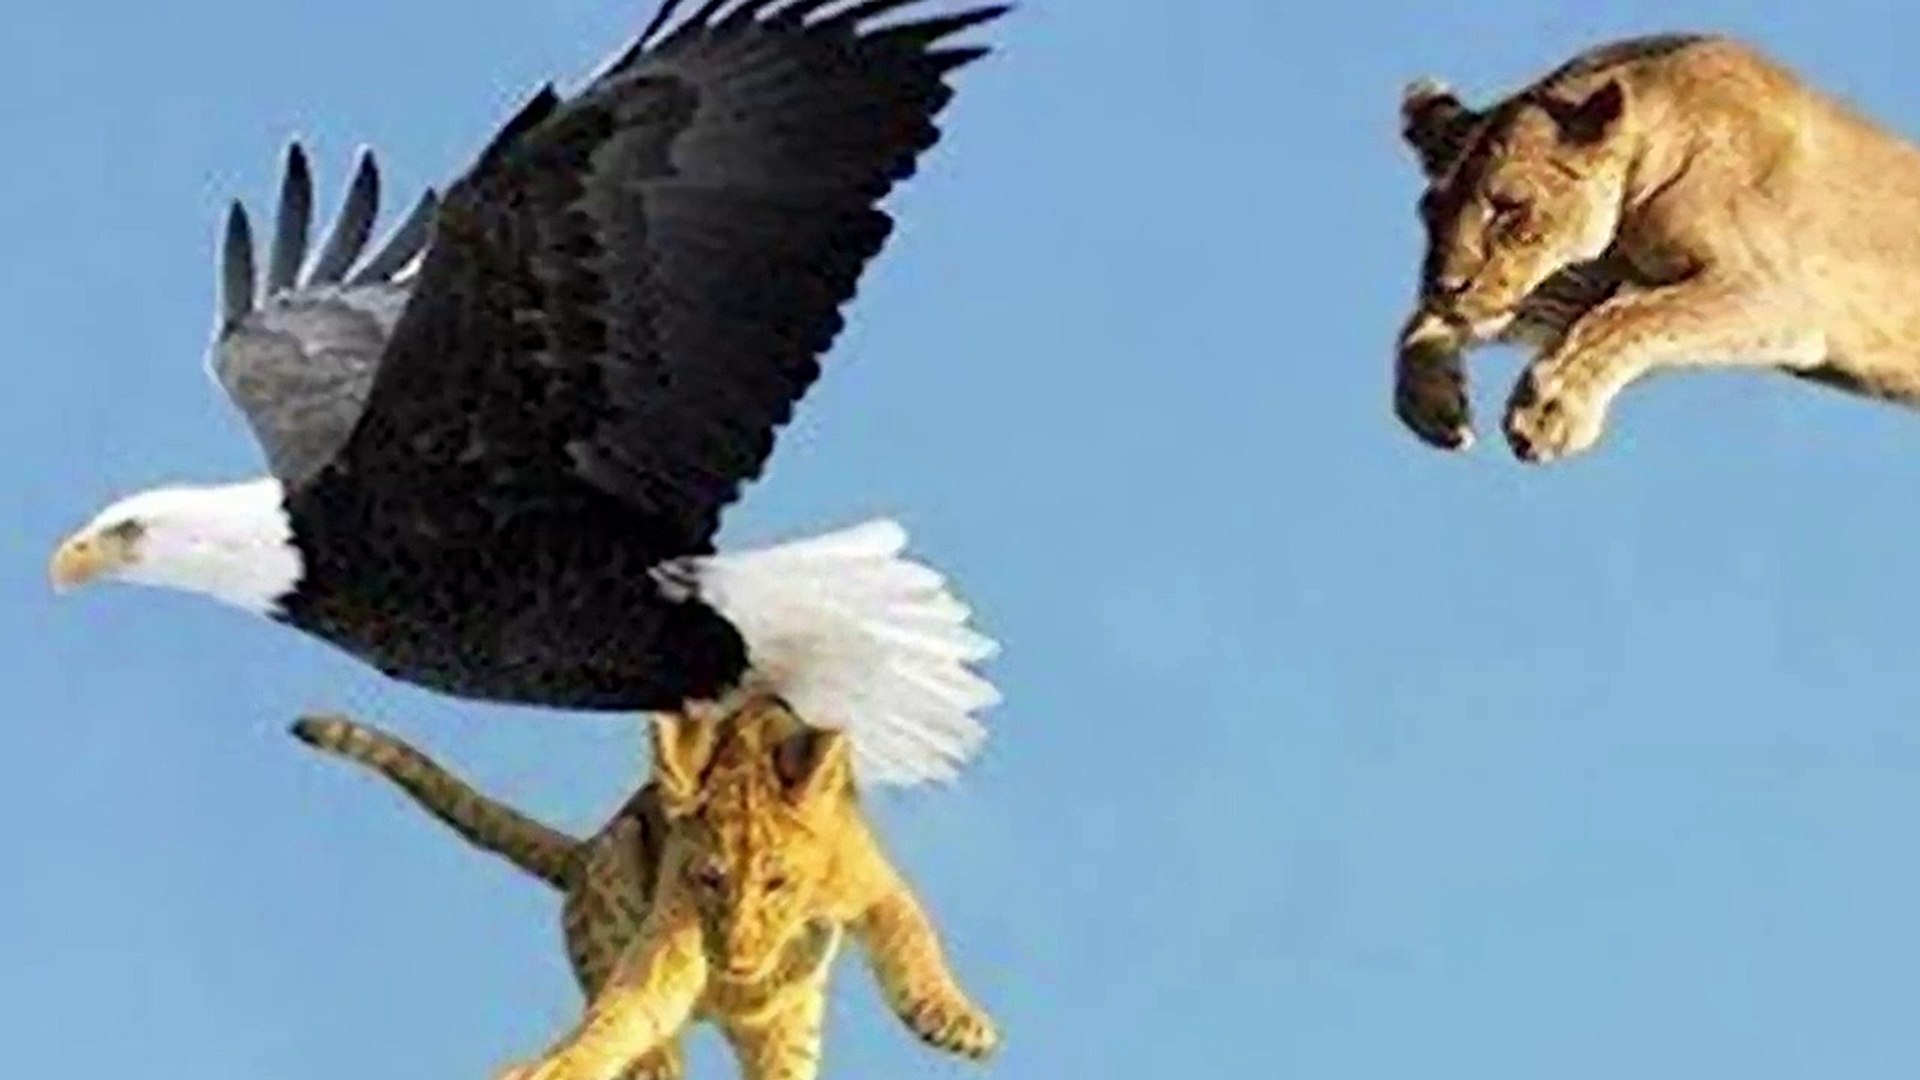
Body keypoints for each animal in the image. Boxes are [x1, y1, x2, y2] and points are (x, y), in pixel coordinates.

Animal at [1394, 32, 1920, 462]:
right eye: (1430, 213)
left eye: (1509, 208)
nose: (1444, 286)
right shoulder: (1569, 287)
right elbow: (1421, 330)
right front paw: (1435, 406)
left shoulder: (1776, 293)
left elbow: (1626, 320)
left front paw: (1547, 414)